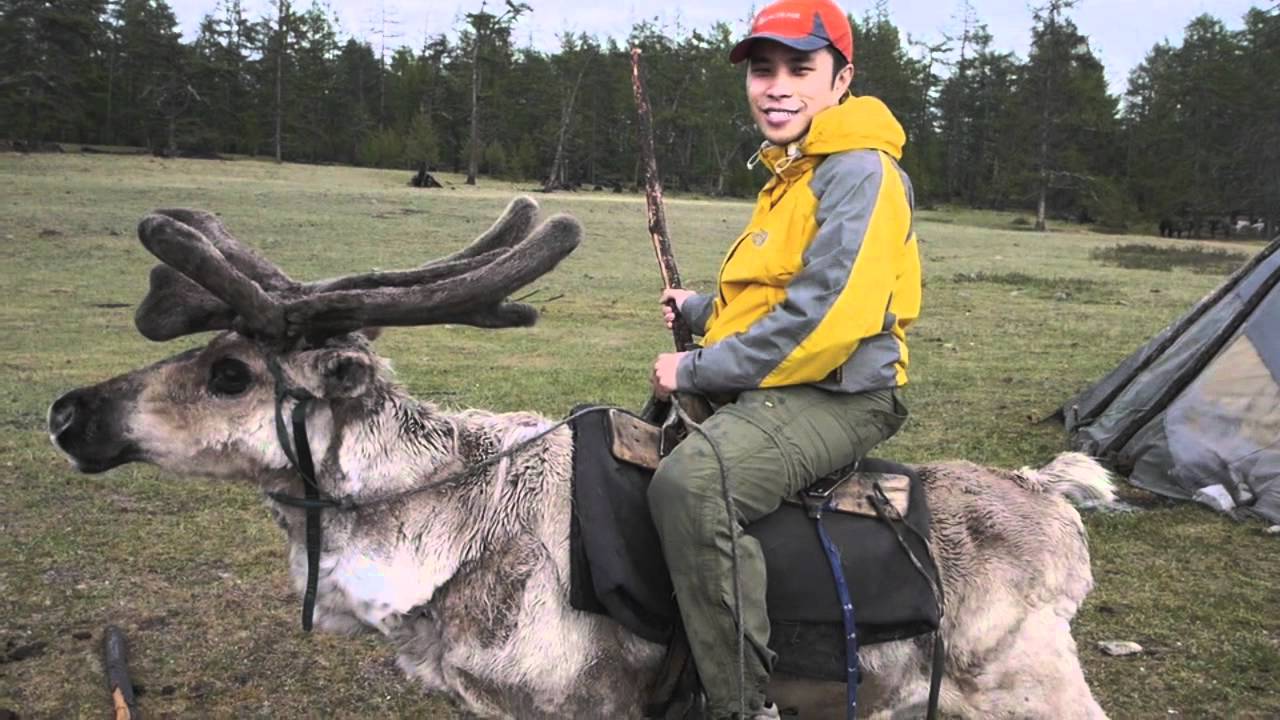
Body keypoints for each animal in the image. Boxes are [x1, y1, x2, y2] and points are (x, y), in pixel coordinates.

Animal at [48, 197, 1111, 719]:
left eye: (229, 373)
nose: (66, 411)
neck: (446, 525)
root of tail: (1054, 502)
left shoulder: (585, 703)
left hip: (1034, 690)